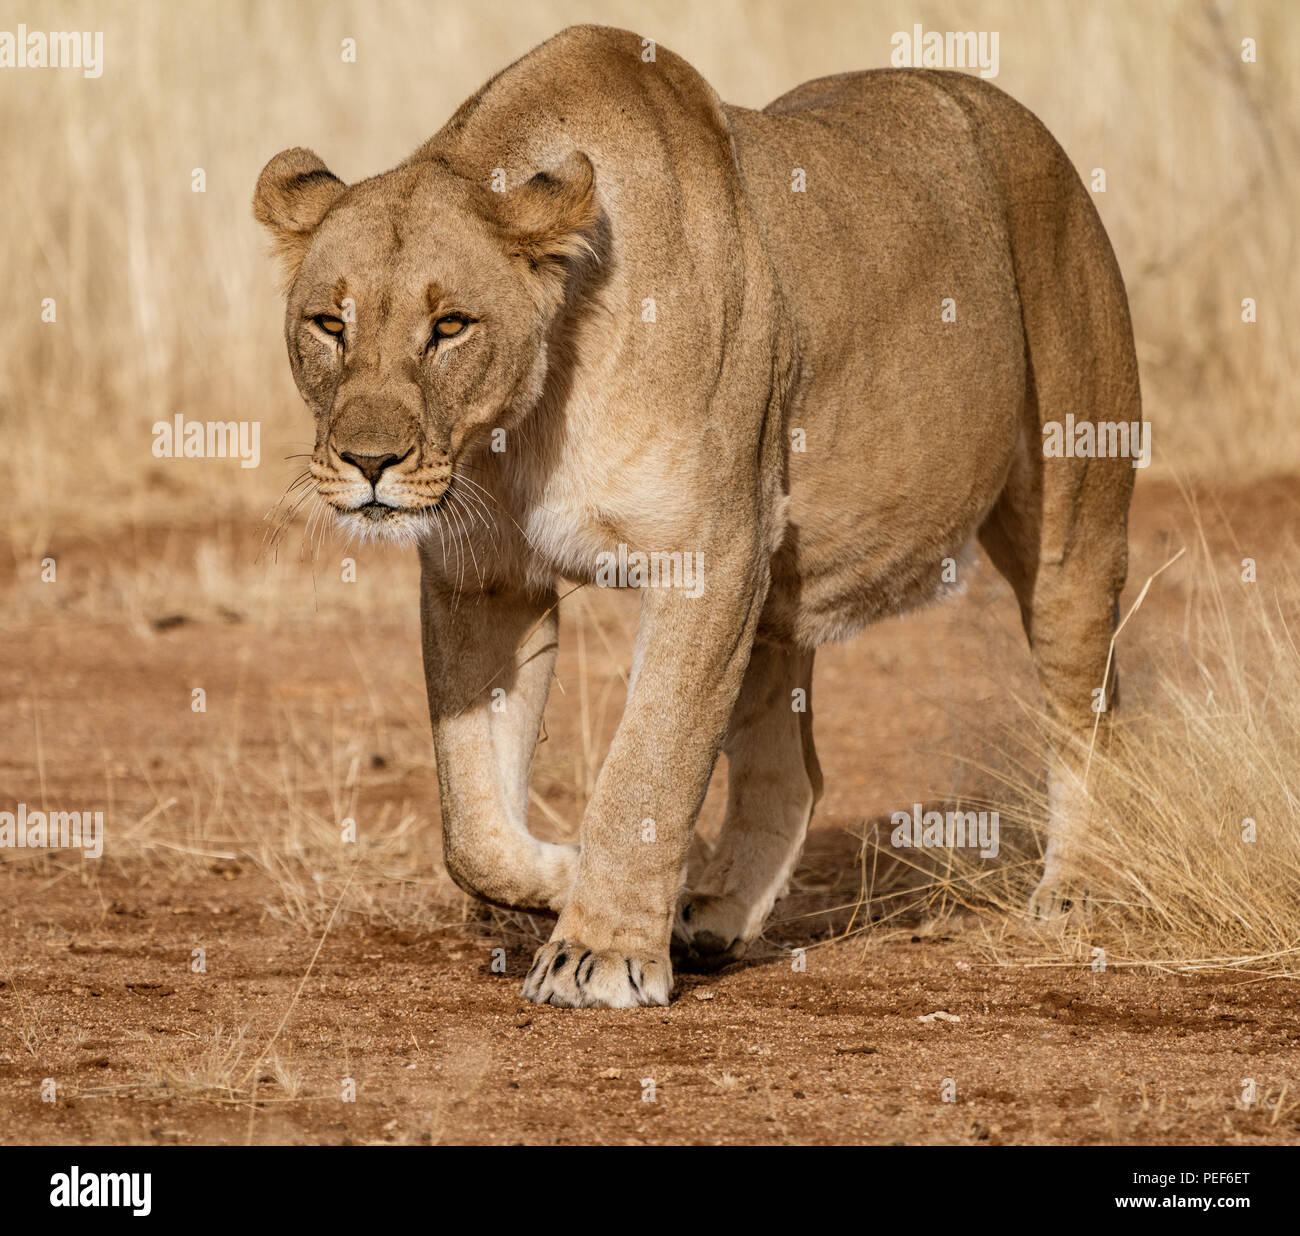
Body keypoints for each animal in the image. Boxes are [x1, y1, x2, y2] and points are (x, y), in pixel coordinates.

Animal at [254, 25, 1138, 1008]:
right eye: (329, 324)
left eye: (450, 326)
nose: (369, 464)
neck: (521, 425)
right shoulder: (481, 578)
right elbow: (470, 817)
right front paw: (564, 876)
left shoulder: (709, 556)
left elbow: (650, 763)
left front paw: (598, 952)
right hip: (781, 589)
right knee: (794, 772)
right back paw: (712, 915)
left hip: (1073, 522)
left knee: (1090, 711)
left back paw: (1079, 891)